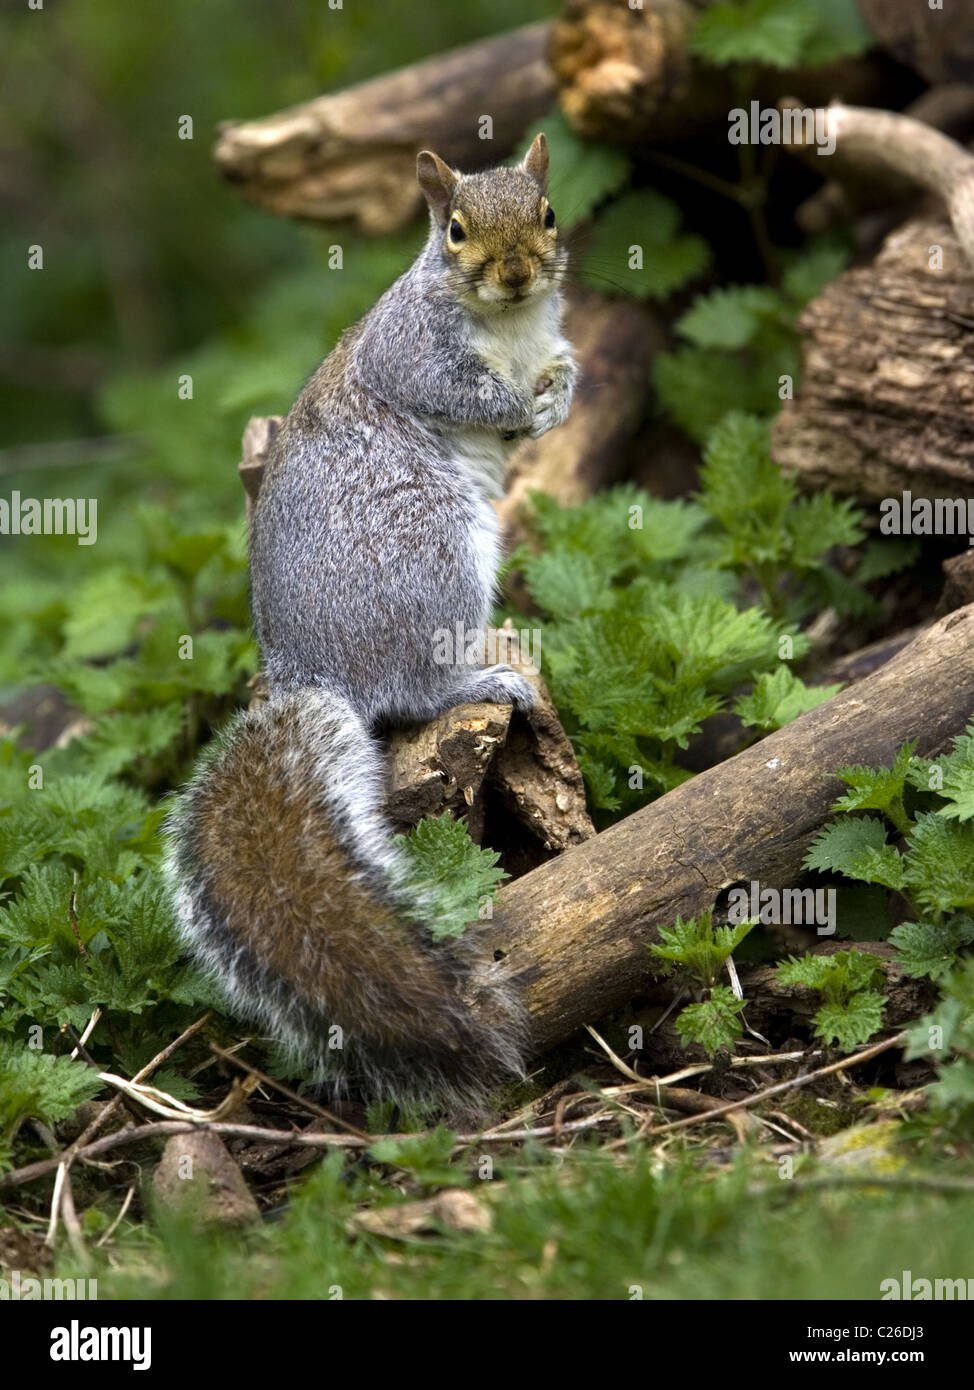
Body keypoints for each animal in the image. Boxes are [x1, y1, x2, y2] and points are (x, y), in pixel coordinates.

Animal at [165, 134, 576, 1108]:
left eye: (547, 213)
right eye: (455, 229)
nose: (515, 273)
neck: (510, 327)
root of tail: (312, 672)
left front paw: (563, 391)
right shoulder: (411, 355)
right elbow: (469, 397)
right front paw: (523, 404)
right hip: (429, 544)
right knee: (413, 691)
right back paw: (480, 675)